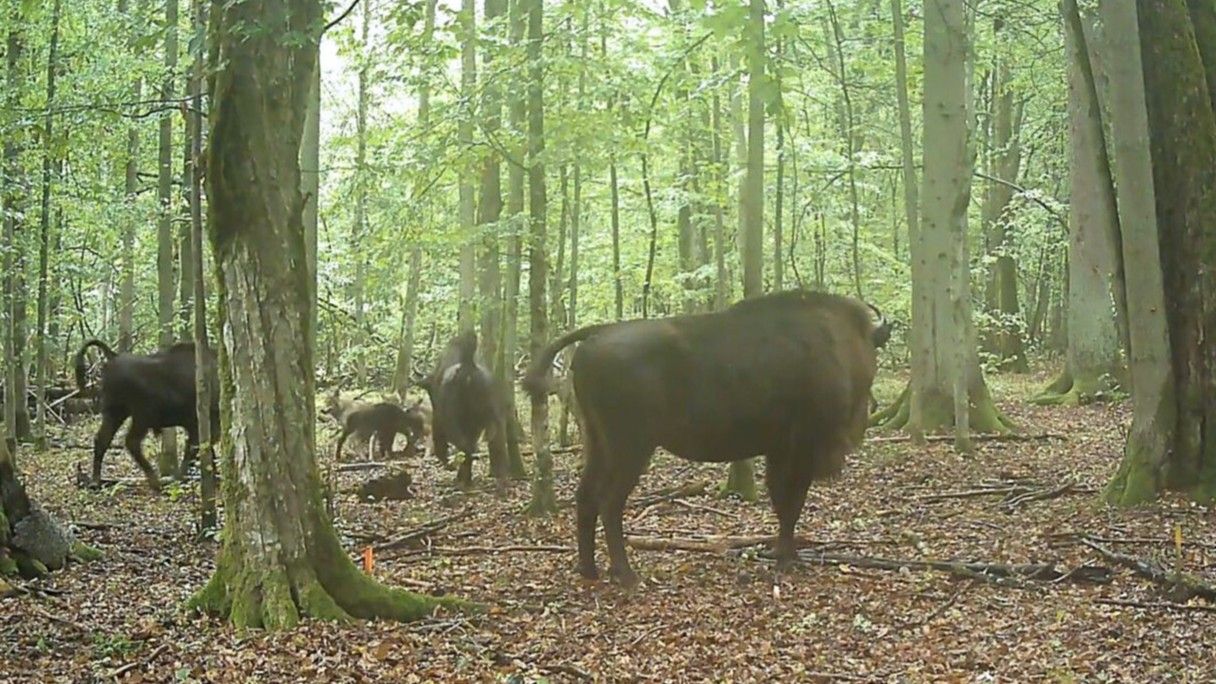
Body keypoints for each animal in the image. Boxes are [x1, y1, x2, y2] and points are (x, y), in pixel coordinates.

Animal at [73, 339, 220, 491]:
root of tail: (114, 357)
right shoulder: (202, 425)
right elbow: (196, 448)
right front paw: (182, 478)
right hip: (141, 418)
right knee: (131, 441)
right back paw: (155, 482)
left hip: (116, 414)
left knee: (102, 440)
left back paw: (95, 481)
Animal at [415, 331, 511, 488]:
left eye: (430, 390)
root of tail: (468, 367)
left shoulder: (439, 420)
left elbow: (441, 446)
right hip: (482, 421)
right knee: (472, 445)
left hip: (452, 421)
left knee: (463, 445)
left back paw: (460, 476)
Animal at [523, 290, 891, 587]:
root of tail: (600, 333)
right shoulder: (801, 449)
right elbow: (792, 503)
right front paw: (789, 560)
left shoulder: (779, 450)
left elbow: (782, 502)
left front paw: (781, 555)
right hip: (631, 448)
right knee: (609, 502)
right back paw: (626, 575)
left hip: (598, 442)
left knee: (585, 497)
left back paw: (589, 570)